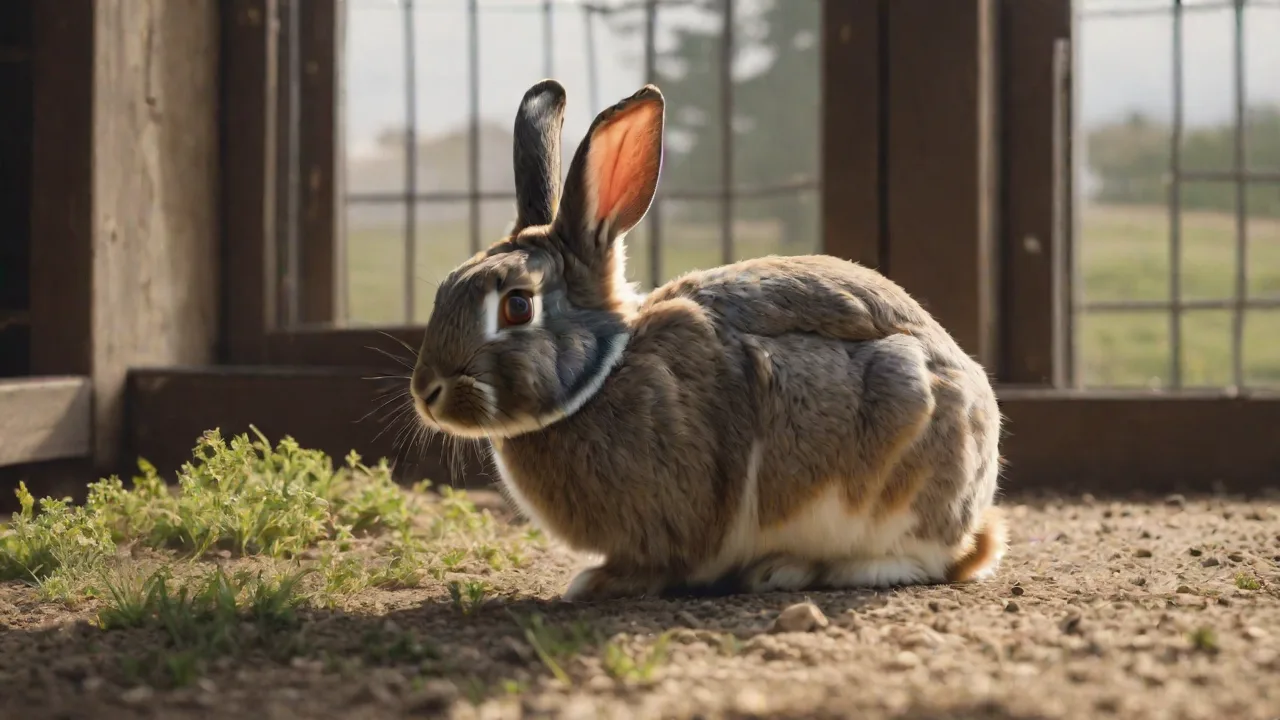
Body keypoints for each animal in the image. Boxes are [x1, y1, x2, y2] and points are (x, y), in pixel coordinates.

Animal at [409, 79, 1007, 602]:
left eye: (517, 306)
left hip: (895, 464)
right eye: (444, 288)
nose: (426, 392)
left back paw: (789, 571)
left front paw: (595, 583)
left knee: (920, 559)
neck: (602, 374)